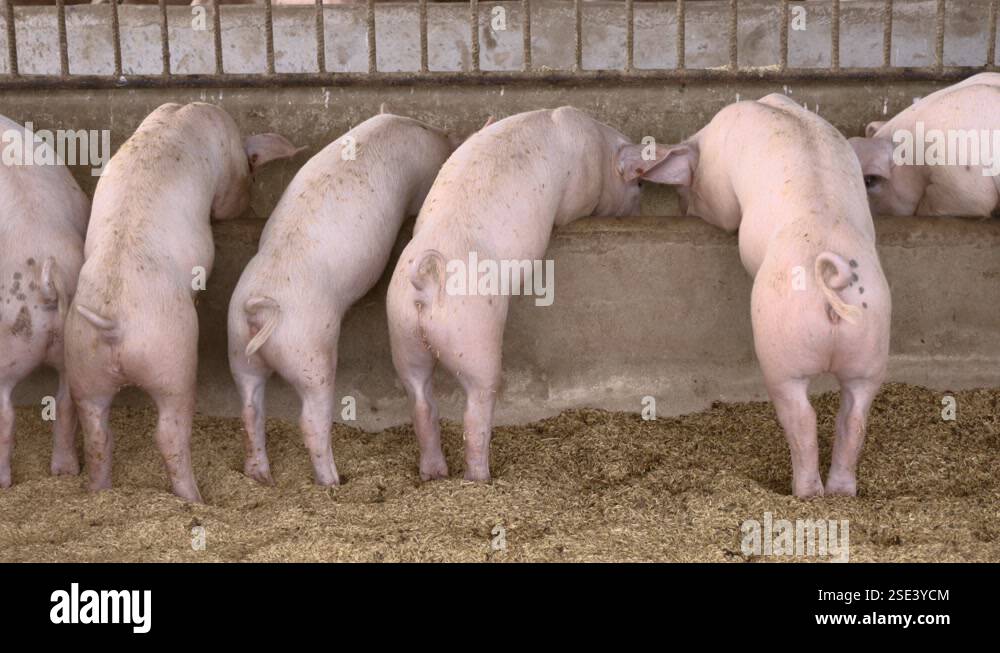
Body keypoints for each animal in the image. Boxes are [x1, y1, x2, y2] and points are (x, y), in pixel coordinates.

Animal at [64, 102, 300, 502]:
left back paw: (98, 491)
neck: (179, 113)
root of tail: (113, 323)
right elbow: (229, 198)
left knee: (97, 431)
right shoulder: (227, 171)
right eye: (251, 172)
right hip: (172, 358)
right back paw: (195, 499)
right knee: (169, 433)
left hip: (84, 362)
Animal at [228, 113, 457, 486]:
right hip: (310, 354)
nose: (451, 135)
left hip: (238, 348)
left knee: (249, 409)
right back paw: (333, 480)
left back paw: (261, 476)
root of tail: (258, 309)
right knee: (310, 419)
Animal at [386, 106, 671, 483]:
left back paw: (434, 474)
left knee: (419, 398)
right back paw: (480, 477)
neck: (599, 144)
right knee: (476, 408)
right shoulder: (579, 191)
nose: (637, 215)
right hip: (474, 335)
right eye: (638, 184)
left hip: (402, 330)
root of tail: (429, 281)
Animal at [635, 94, 891, 498]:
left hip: (779, 346)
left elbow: (723, 214)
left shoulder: (718, 188)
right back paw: (840, 492)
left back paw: (806, 492)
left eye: (684, 190)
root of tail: (829, 287)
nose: (681, 208)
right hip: (871, 344)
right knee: (854, 417)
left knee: (802, 418)